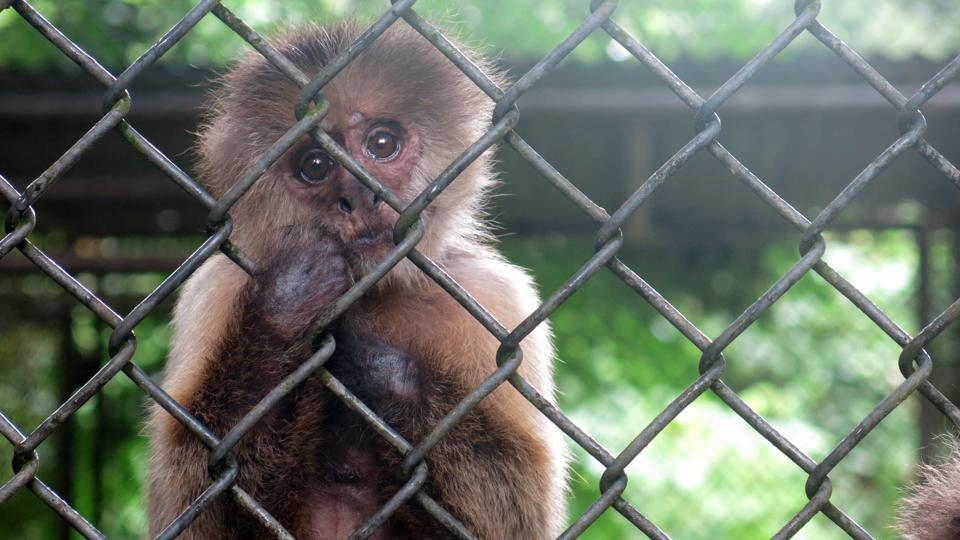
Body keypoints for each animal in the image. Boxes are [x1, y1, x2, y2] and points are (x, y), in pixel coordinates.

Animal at [146, 22, 568, 539]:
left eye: (381, 145)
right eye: (315, 166)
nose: (359, 197)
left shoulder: (496, 294)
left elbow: (521, 515)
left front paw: (369, 362)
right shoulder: (215, 287)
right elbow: (195, 502)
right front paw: (286, 308)